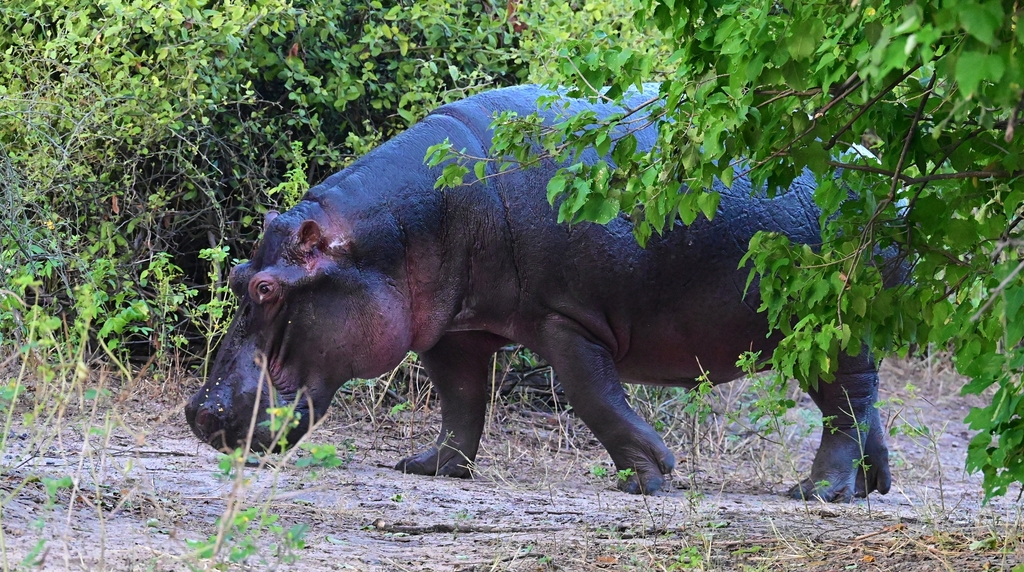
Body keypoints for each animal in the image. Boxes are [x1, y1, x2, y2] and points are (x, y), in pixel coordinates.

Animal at [185, 85, 891, 502]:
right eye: (238, 277)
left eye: (269, 288)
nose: (200, 412)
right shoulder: (456, 330)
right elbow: (460, 401)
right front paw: (429, 467)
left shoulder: (565, 320)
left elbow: (594, 397)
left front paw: (648, 479)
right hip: (830, 339)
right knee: (862, 408)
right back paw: (867, 489)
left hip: (835, 332)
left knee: (845, 409)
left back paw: (817, 493)